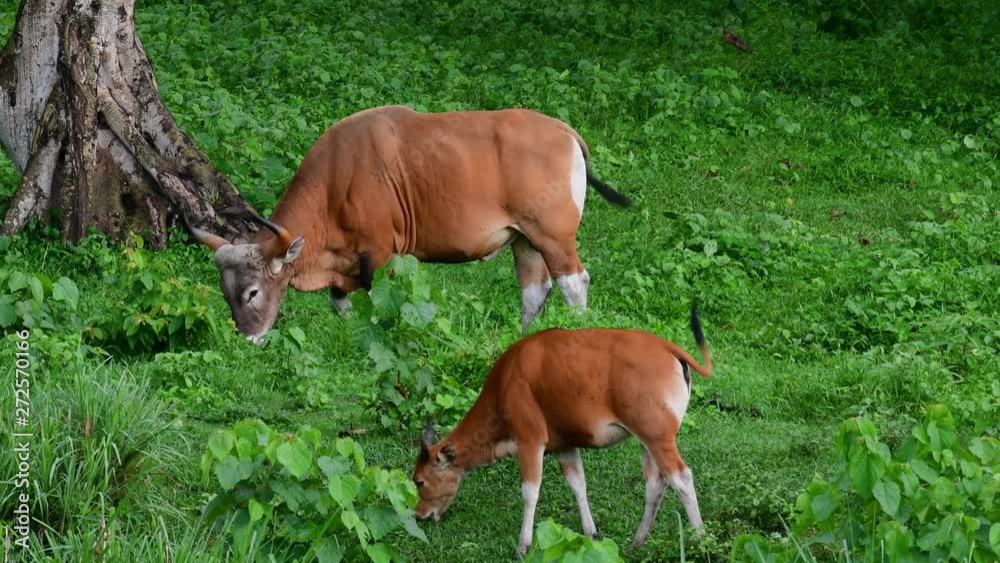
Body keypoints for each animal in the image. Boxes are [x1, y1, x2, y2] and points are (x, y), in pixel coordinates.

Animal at [188, 105, 630, 344]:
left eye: (251, 292)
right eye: (225, 293)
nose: (248, 337)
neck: (337, 179)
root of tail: (563, 130)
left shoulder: (380, 253)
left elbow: (378, 303)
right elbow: (339, 300)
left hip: (553, 235)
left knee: (574, 283)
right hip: (525, 239)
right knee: (535, 290)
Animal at [411, 306, 713, 557]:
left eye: (419, 482)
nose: (419, 515)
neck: (506, 383)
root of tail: (667, 347)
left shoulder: (530, 440)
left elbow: (530, 492)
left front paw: (523, 546)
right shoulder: (564, 445)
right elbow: (578, 485)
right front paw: (591, 533)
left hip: (658, 437)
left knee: (681, 478)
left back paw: (699, 540)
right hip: (646, 439)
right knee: (655, 483)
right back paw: (637, 542)